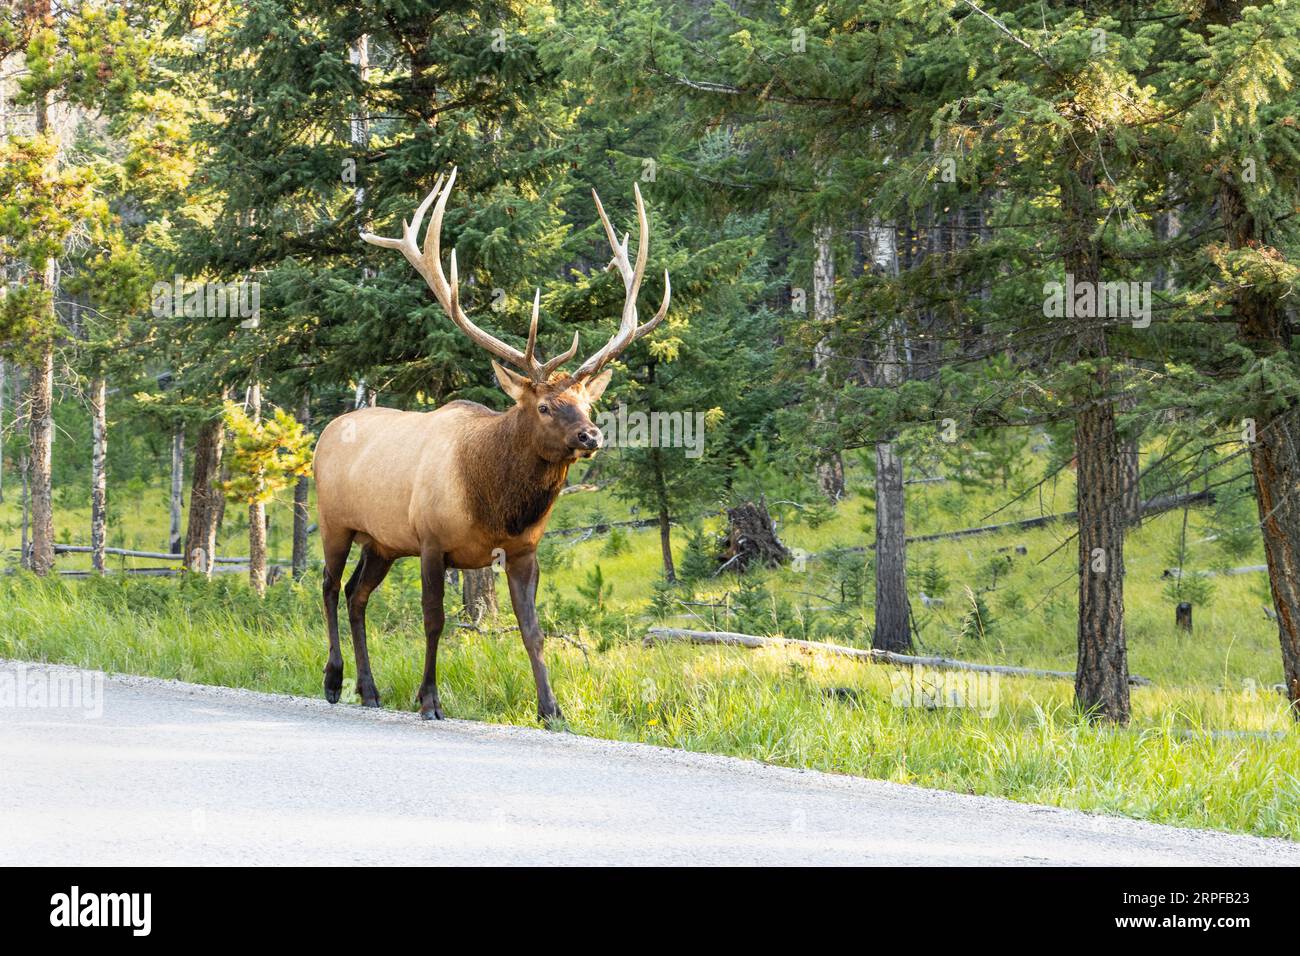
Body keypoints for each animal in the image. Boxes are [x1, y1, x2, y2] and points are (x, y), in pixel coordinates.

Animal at [313, 167, 669, 723]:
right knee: (329, 587)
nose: (591, 436)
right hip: (337, 521)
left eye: (587, 404)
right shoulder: (431, 540)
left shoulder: (524, 551)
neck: (495, 503)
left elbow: (533, 630)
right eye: (544, 406)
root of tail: (325, 433)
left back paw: (369, 689)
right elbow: (434, 620)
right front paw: (429, 700)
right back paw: (334, 680)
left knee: (355, 594)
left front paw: (551, 709)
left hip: (382, 541)